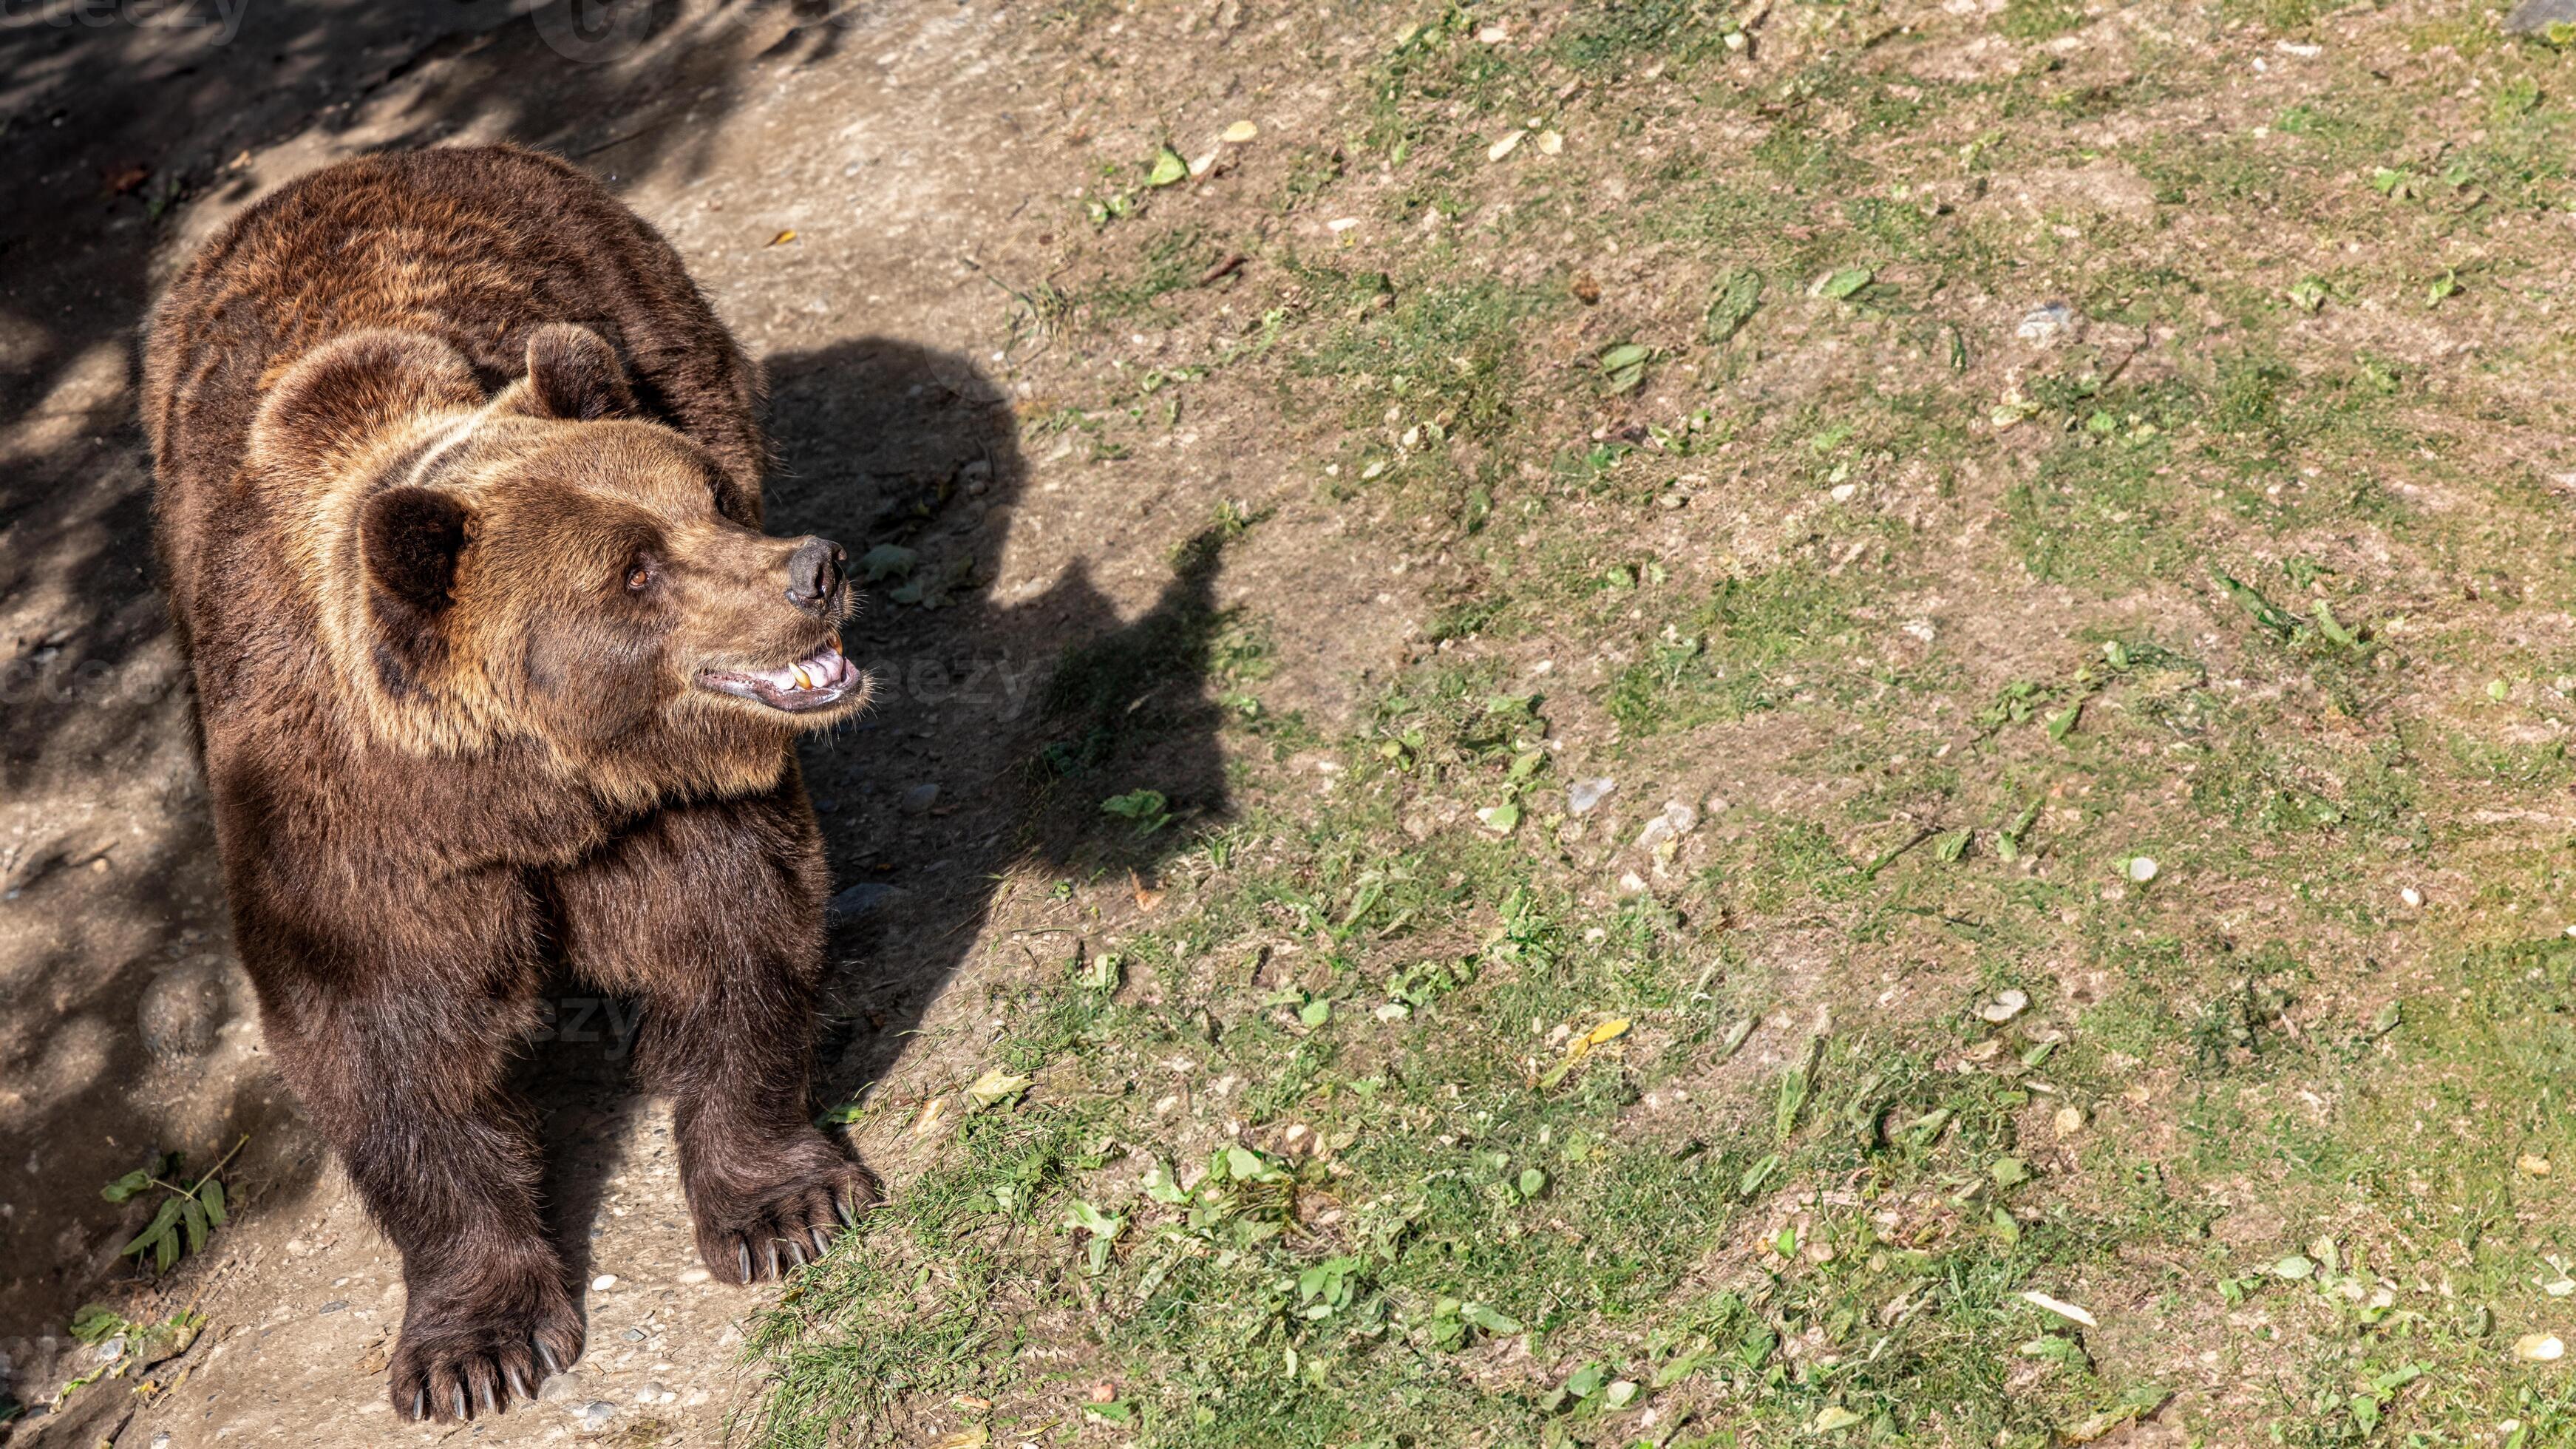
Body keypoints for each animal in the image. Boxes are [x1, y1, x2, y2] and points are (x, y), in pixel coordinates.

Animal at [141, 145, 874, 1423]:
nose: (812, 570)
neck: (525, 792)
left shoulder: (668, 805)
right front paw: (475, 1349)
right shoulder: (350, 845)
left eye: (707, 502)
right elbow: (389, 1051)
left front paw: (782, 1204)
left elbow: (732, 932)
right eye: (635, 570)